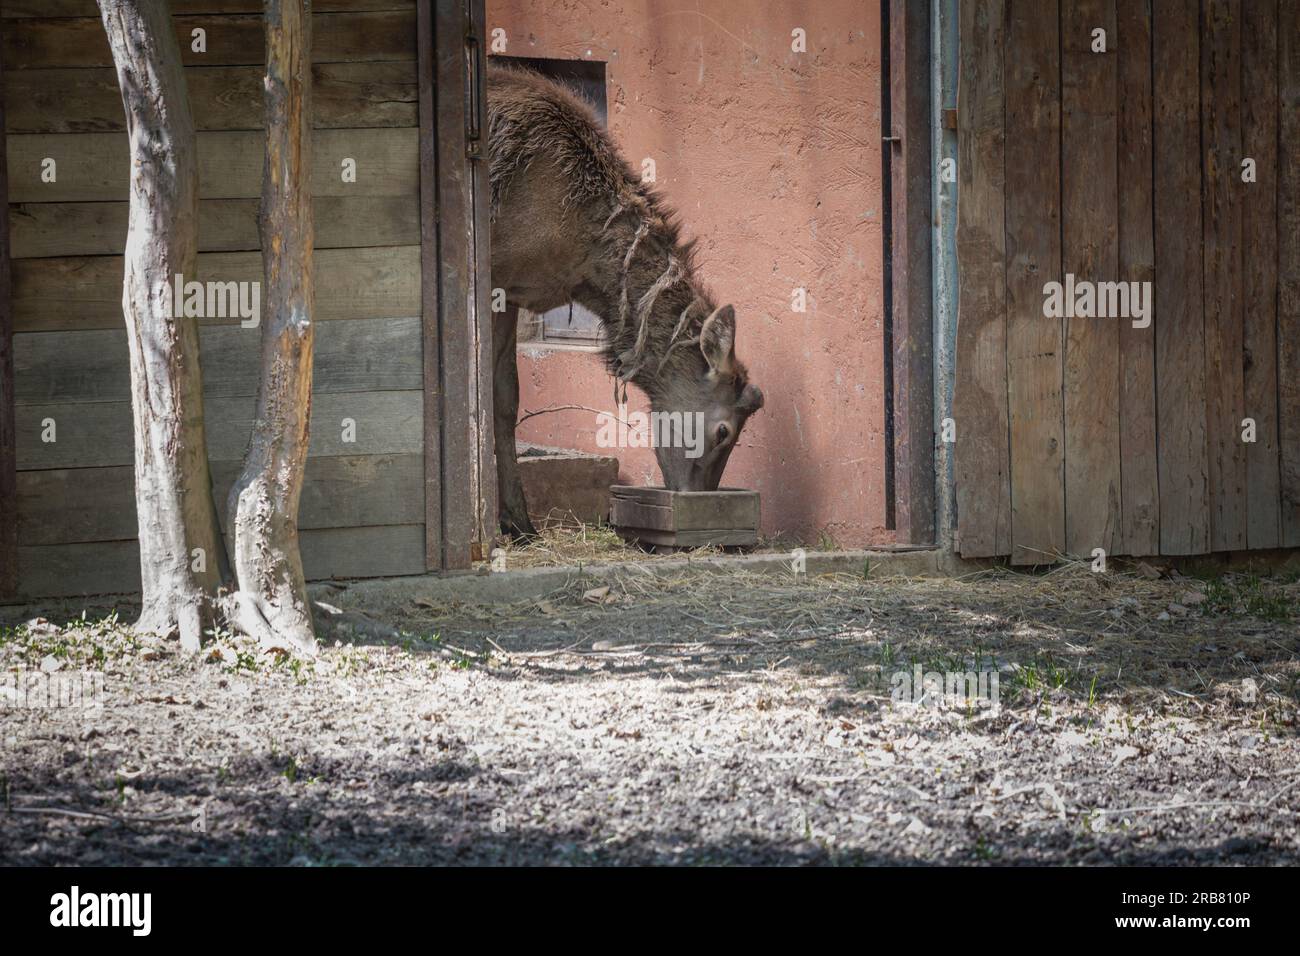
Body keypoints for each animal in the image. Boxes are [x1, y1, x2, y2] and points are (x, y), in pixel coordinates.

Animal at [487, 63, 764, 537]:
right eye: (724, 431)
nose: (697, 498)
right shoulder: (491, 271)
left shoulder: (513, 290)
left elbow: (506, 398)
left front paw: (518, 523)